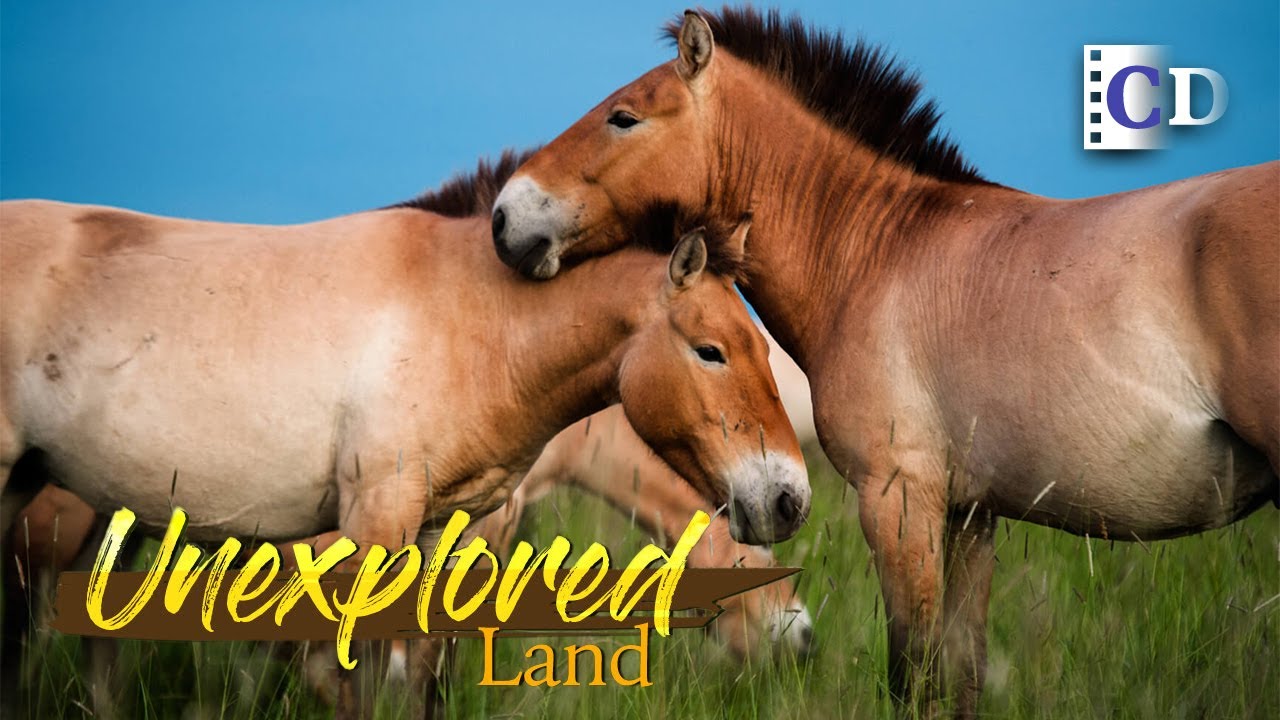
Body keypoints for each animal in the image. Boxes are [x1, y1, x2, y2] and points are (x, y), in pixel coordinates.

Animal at [0, 150, 811, 716]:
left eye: (764, 347)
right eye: (711, 350)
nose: (790, 499)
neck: (476, 319)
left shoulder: (442, 529)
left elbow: (425, 675)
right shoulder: (375, 520)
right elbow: (350, 671)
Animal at [487, 8, 1279, 716]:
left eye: (623, 117)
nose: (503, 216)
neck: (876, 252)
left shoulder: (897, 500)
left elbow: (914, 676)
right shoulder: (969, 515)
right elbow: (961, 674)